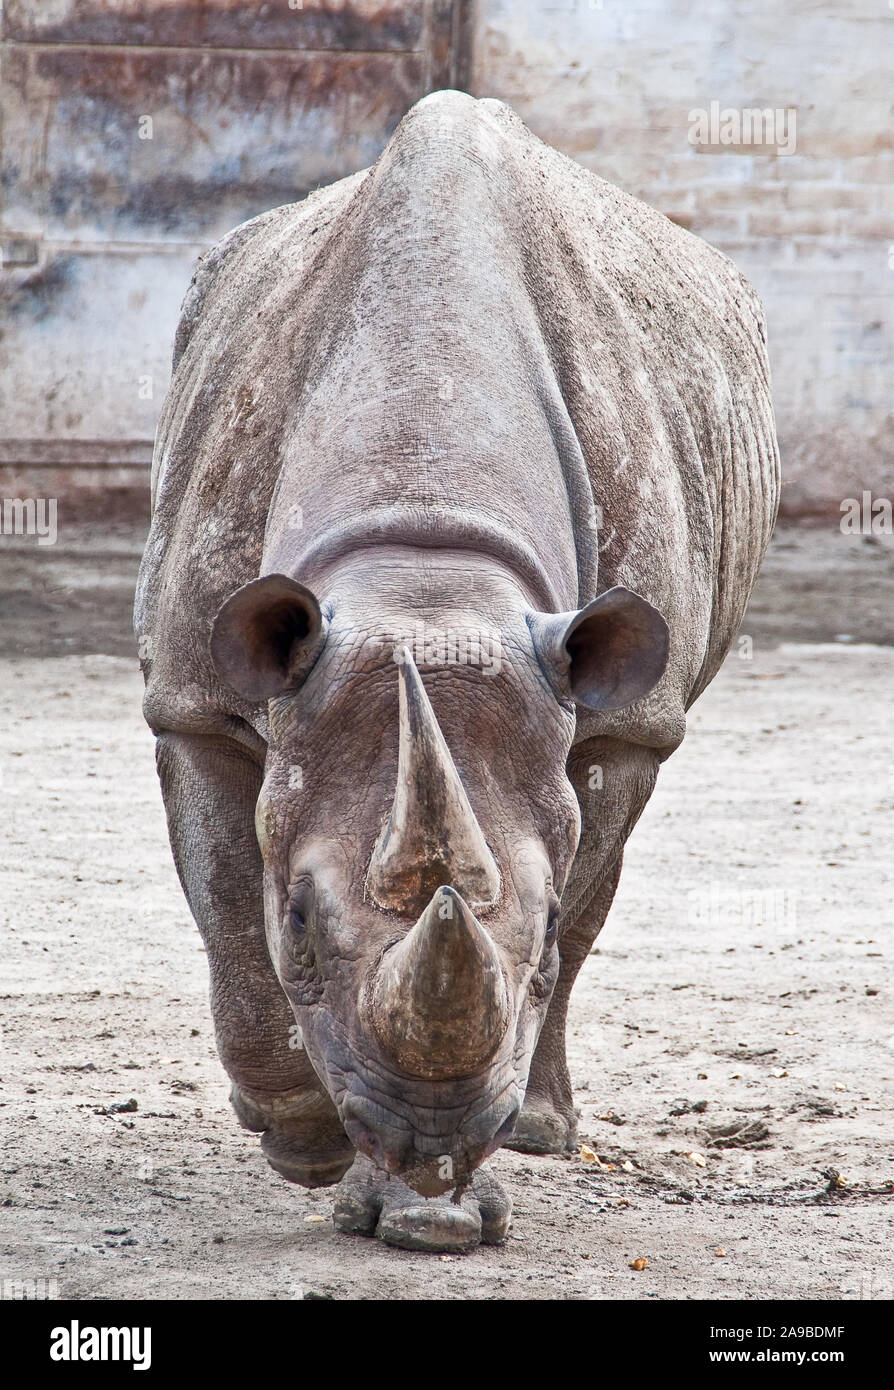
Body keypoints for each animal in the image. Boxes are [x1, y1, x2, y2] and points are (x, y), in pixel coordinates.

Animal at [135, 91, 779, 1253]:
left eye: (546, 928)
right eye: (301, 920)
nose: (431, 1138)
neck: (424, 559)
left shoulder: (617, 716)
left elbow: (577, 884)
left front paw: (432, 1205)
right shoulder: (197, 697)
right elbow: (234, 920)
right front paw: (304, 1136)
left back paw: (540, 1130)